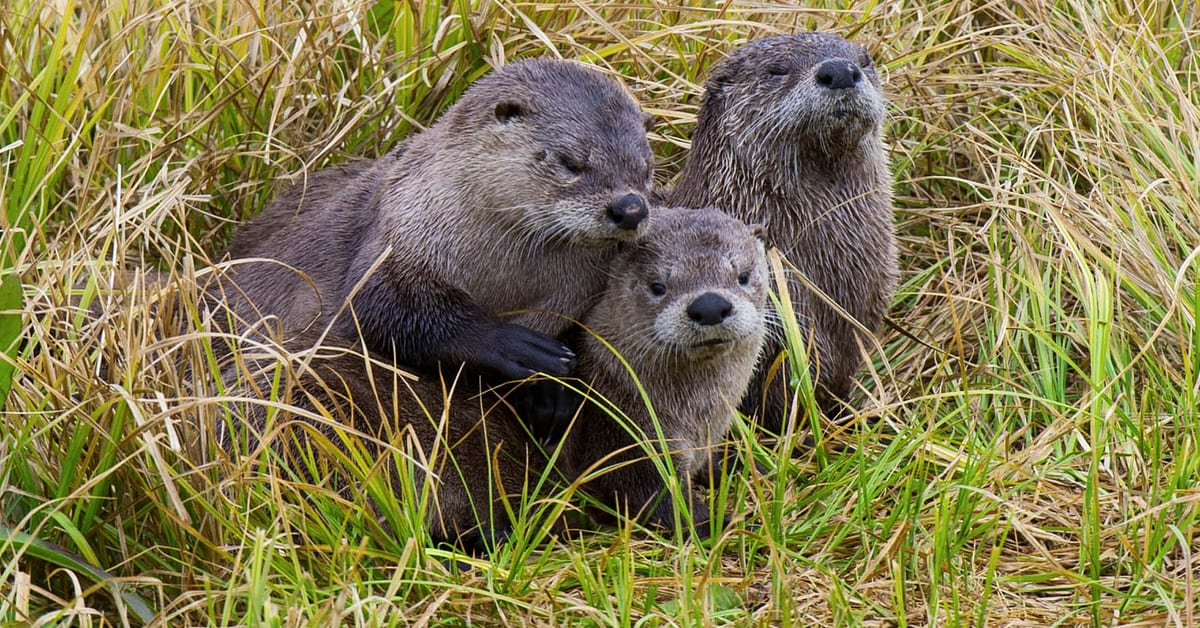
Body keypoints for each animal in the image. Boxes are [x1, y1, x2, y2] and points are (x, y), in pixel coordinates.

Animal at [221, 58, 655, 382]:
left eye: (646, 167)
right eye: (571, 163)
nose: (630, 208)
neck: (504, 278)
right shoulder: (398, 237)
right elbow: (380, 311)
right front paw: (518, 347)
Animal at [221, 206, 768, 552]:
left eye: (743, 275)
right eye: (657, 286)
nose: (710, 305)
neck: (689, 416)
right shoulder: (618, 439)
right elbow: (642, 498)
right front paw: (717, 521)